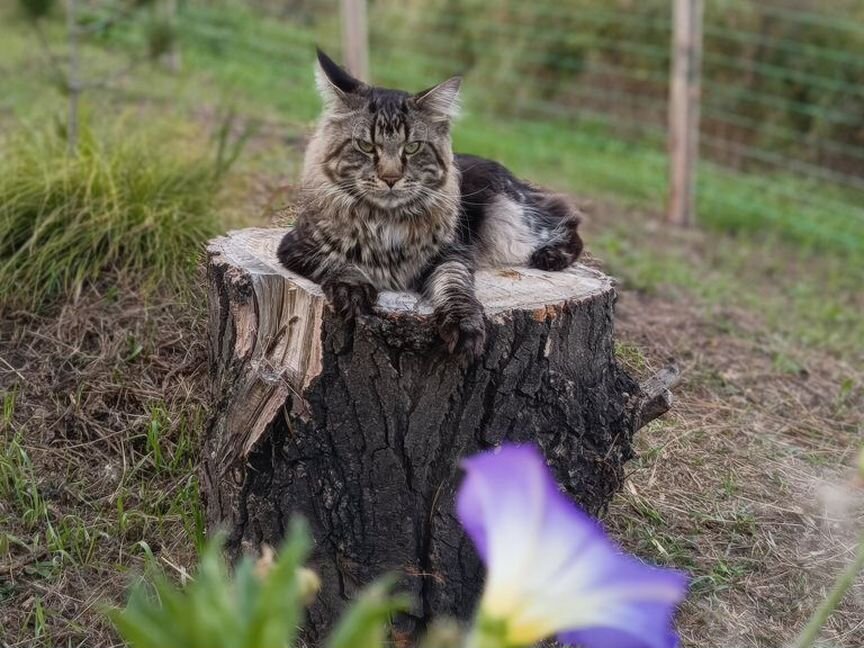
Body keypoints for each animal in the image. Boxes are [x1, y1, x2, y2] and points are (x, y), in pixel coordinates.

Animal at [280, 50, 584, 362]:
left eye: (412, 147)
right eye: (366, 146)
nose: (390, 178)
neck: (385, 221)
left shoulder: (452, 253)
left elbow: (455, 285)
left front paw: (464, 326)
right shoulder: (297, 246)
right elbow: (338, 264)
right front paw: (354, 292)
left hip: (512, 222)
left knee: (566, 219)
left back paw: (551, 256)